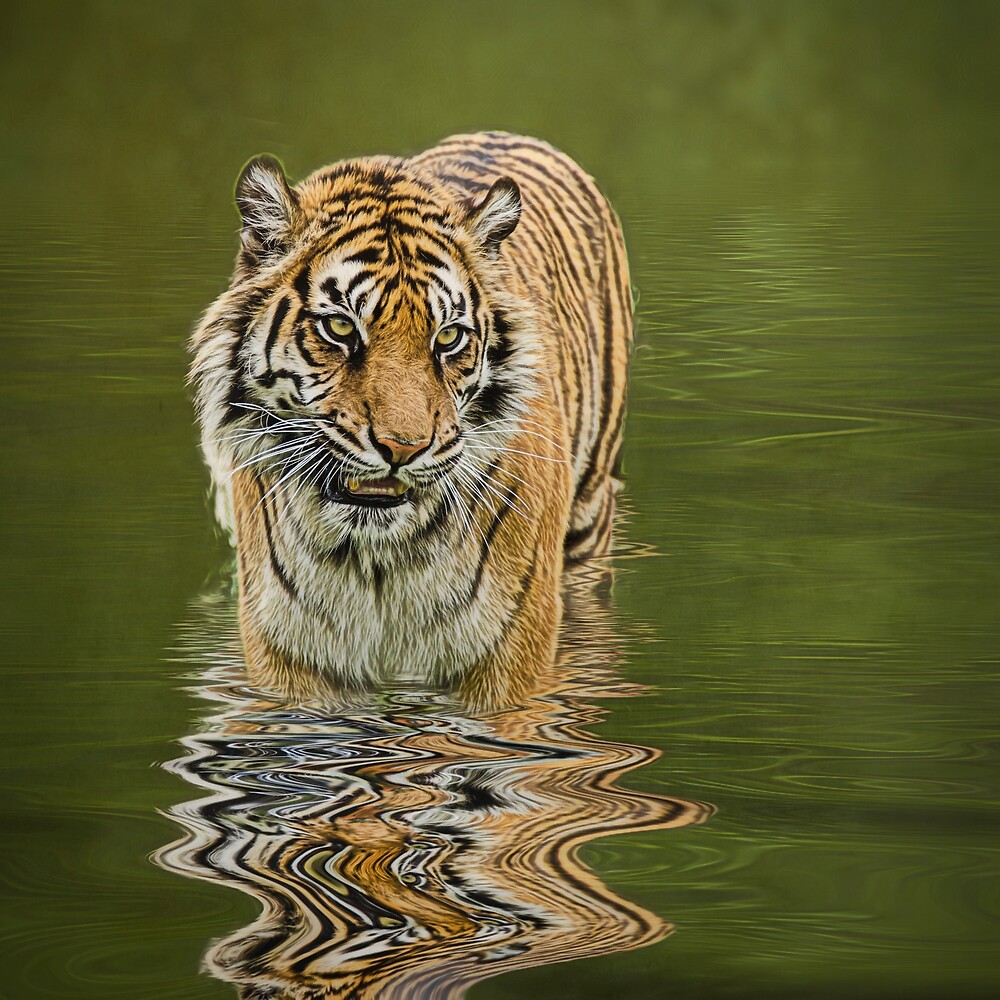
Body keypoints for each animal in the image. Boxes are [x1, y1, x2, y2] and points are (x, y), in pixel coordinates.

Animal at [189, 131, 633, 709]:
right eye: (340, 328)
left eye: (449, 337)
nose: (403, 448)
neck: (375, 557)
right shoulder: (288, 658)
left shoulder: (508, 662)